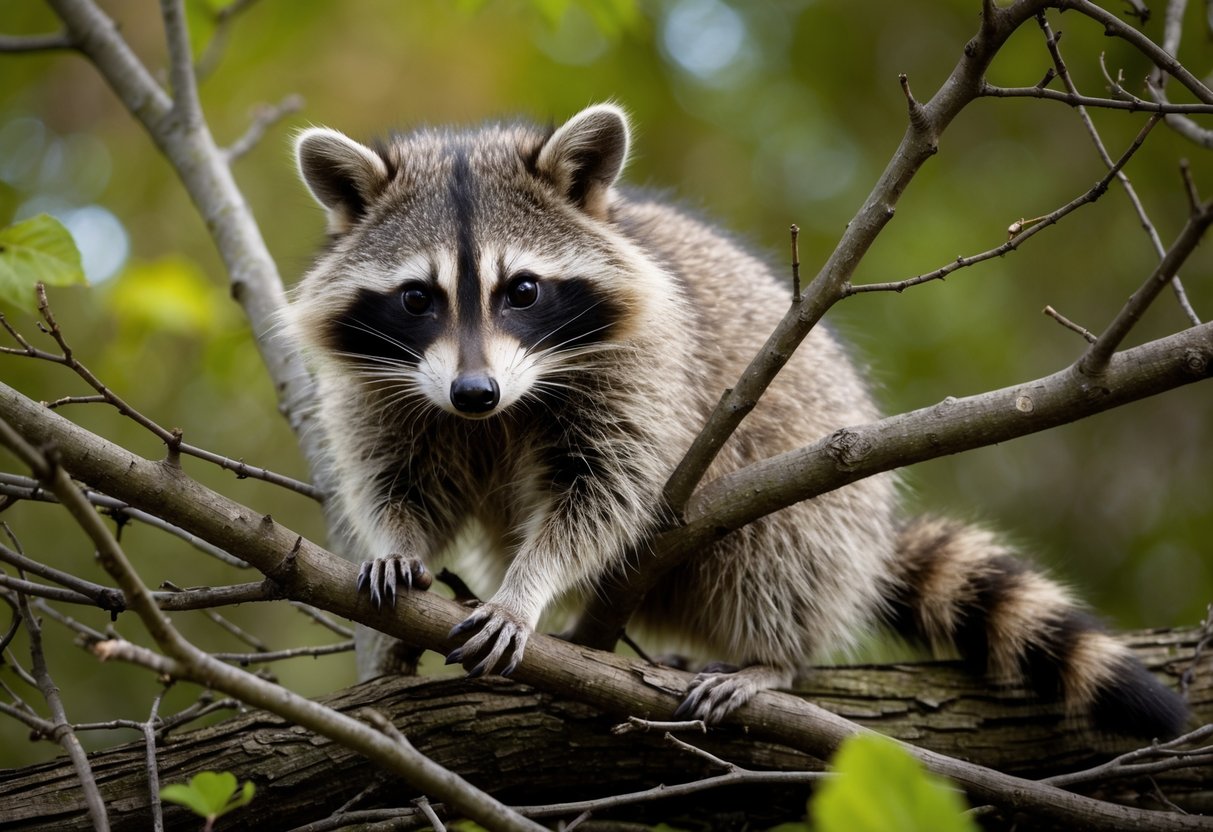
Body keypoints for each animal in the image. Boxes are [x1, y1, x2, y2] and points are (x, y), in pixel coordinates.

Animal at [287, 103, 1188, 736]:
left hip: (813, 489)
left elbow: (603, 491)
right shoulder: (390, 385)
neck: (499, 402)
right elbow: (403, 475)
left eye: (524, 290)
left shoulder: (643, 370)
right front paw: (399, 543)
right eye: (417, 298)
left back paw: (772, 659)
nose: (474, 393)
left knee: (779, 553)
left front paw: (526, 588)